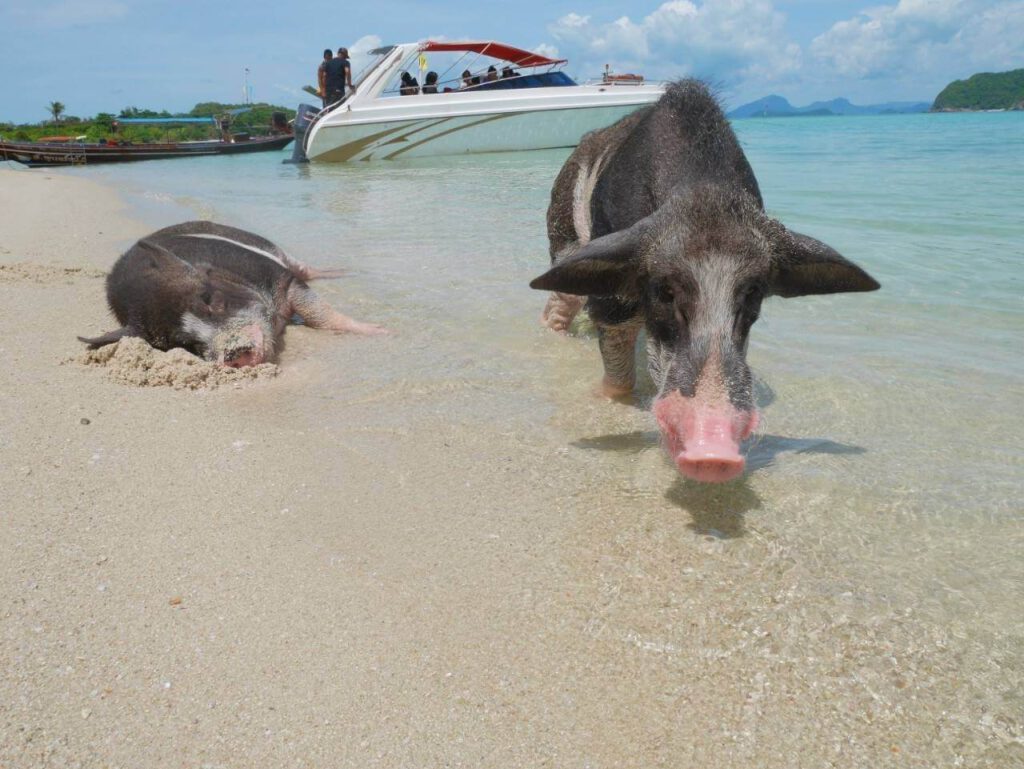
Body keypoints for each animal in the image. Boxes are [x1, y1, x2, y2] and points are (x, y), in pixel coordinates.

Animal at [79, 220, 386, 367]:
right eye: (183, 343)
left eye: (211, 299)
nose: (235, 353)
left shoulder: (279, 278)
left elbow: (318, 312)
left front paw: (383, 332)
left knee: (304, 269)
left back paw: (348, 272)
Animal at [531, 80, 879, 483]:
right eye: (665, 291)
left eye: (753, 293)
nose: (714, 454)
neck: (702, 193)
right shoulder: (614, 301)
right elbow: (619, 375)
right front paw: (603, 398)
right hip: (563, 237)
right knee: (561, 301)